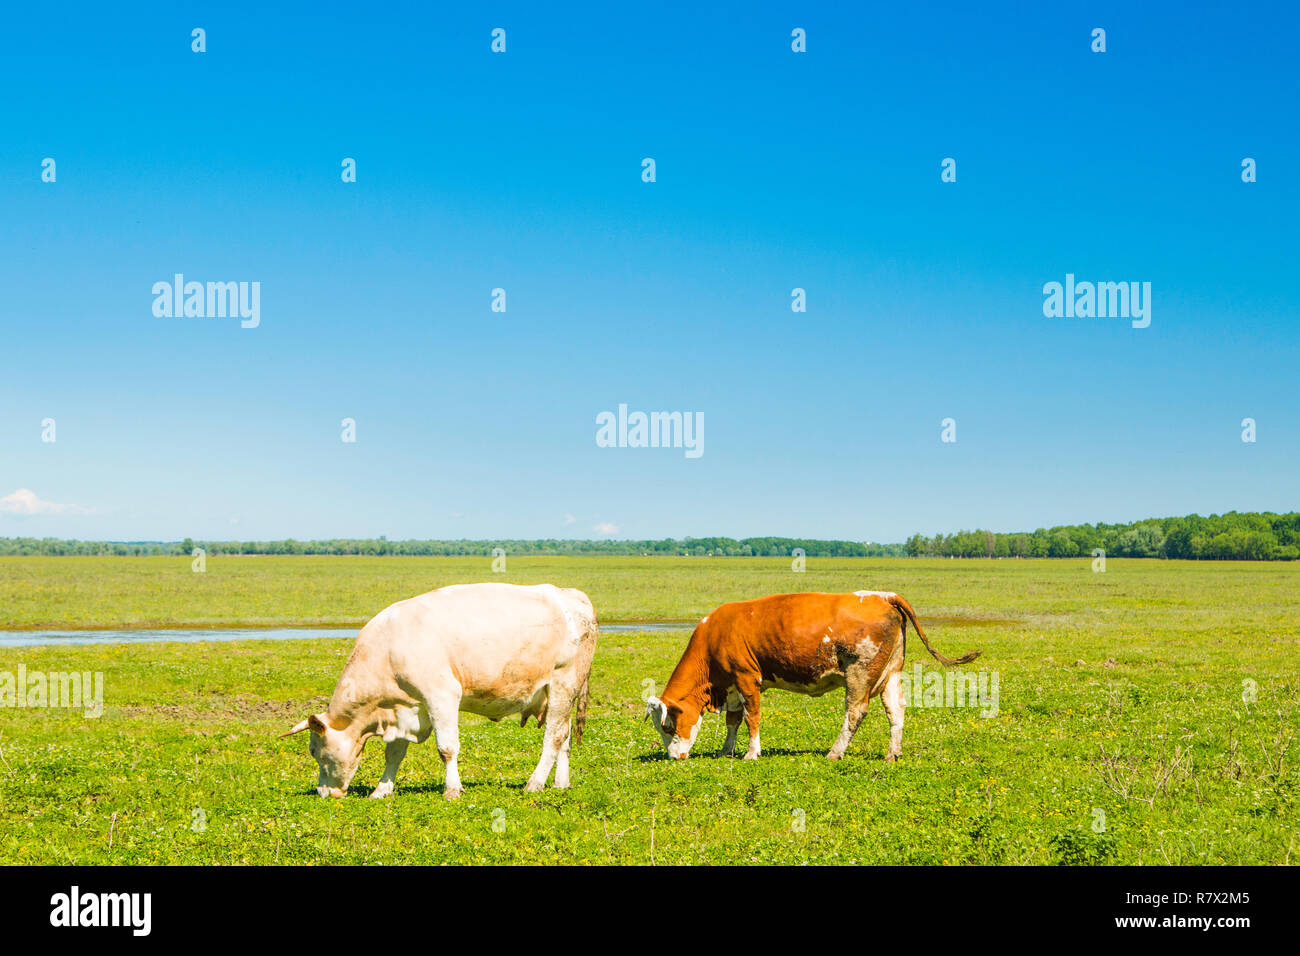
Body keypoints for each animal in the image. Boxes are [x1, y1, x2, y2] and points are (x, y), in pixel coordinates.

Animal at [282, 582, 599, 799]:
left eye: (314, 750)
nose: (323, 792)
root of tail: (571, 595)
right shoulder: (406, 707)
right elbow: (393, 754)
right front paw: (382, 790)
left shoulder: (441, 697)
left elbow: (447, 748)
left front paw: (452, 789)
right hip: (560, 694)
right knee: (565, 737)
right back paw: (560, 783)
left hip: (563, 683)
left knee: (553, 738)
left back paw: (534, 783)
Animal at [645, 590, 979, 762]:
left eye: (668, 725)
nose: (673, 757)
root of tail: (883, 596)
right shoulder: (732, 684)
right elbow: (733, 720)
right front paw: (727, 751)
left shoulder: (747, 678)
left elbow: (752, 718)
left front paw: (751, 753)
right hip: (891, 672)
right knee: (896, 710)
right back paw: (891, 754)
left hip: (860, 673)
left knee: (855, 712)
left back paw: (835, 752)